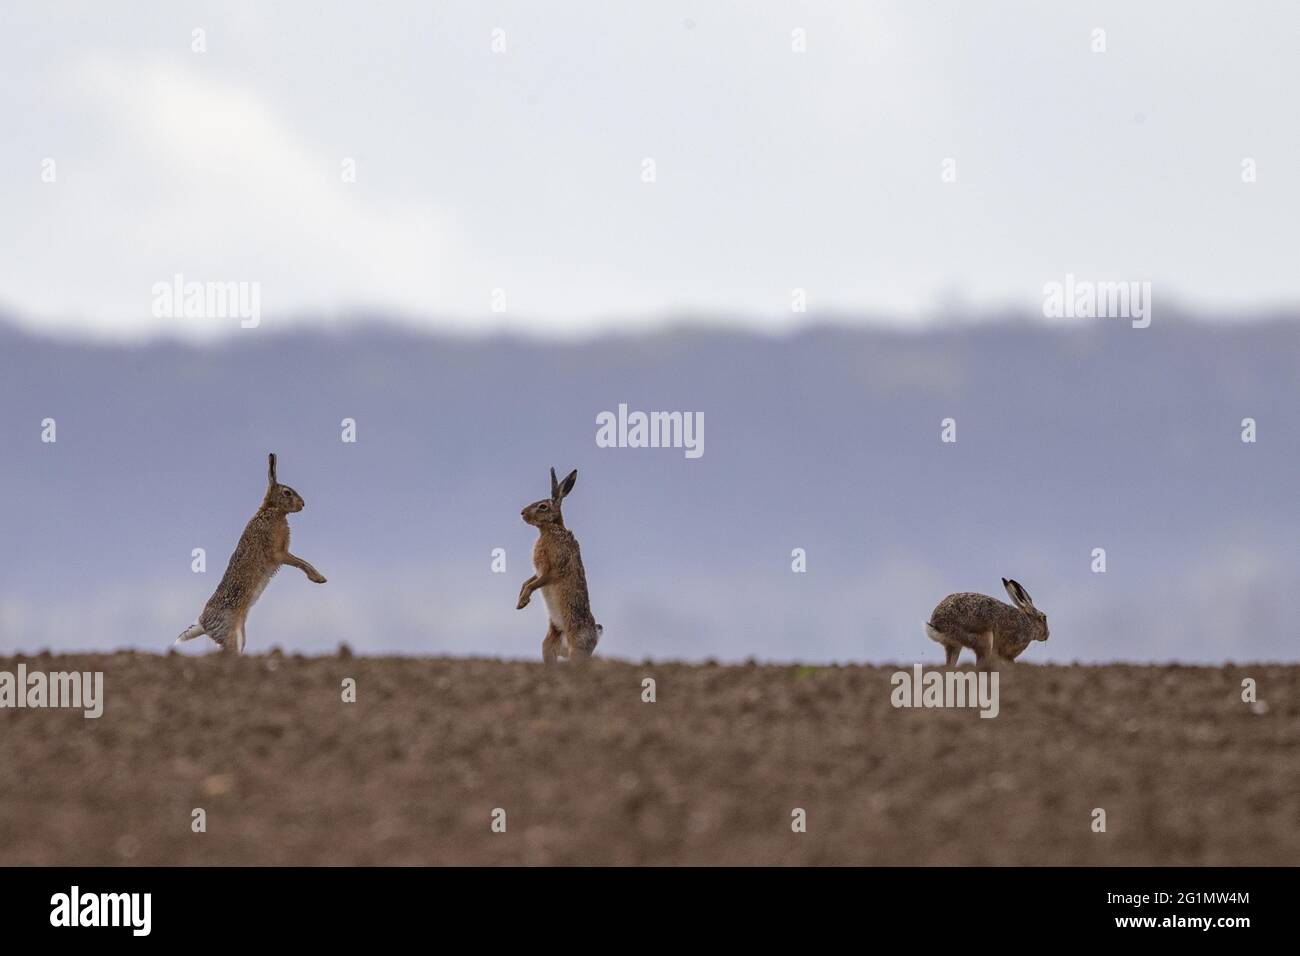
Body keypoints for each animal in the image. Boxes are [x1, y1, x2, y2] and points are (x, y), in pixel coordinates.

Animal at [174, 453, 326, 655]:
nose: (303, 504)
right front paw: (319, 578)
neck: (272, 509)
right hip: (231, 634)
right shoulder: (279, 553)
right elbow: (301, 562)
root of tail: (203, 624)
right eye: (287, 492)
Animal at [516, 467, 601, 663]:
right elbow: (528, 582)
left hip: (577, 648)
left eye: (543, 506)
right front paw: (520, 601)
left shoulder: (554, 570)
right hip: (548, 644)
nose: (522, 513)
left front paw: (523, 601)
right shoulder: (539, 571)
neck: (550, 529)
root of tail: (596, 633)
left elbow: (533, 584)